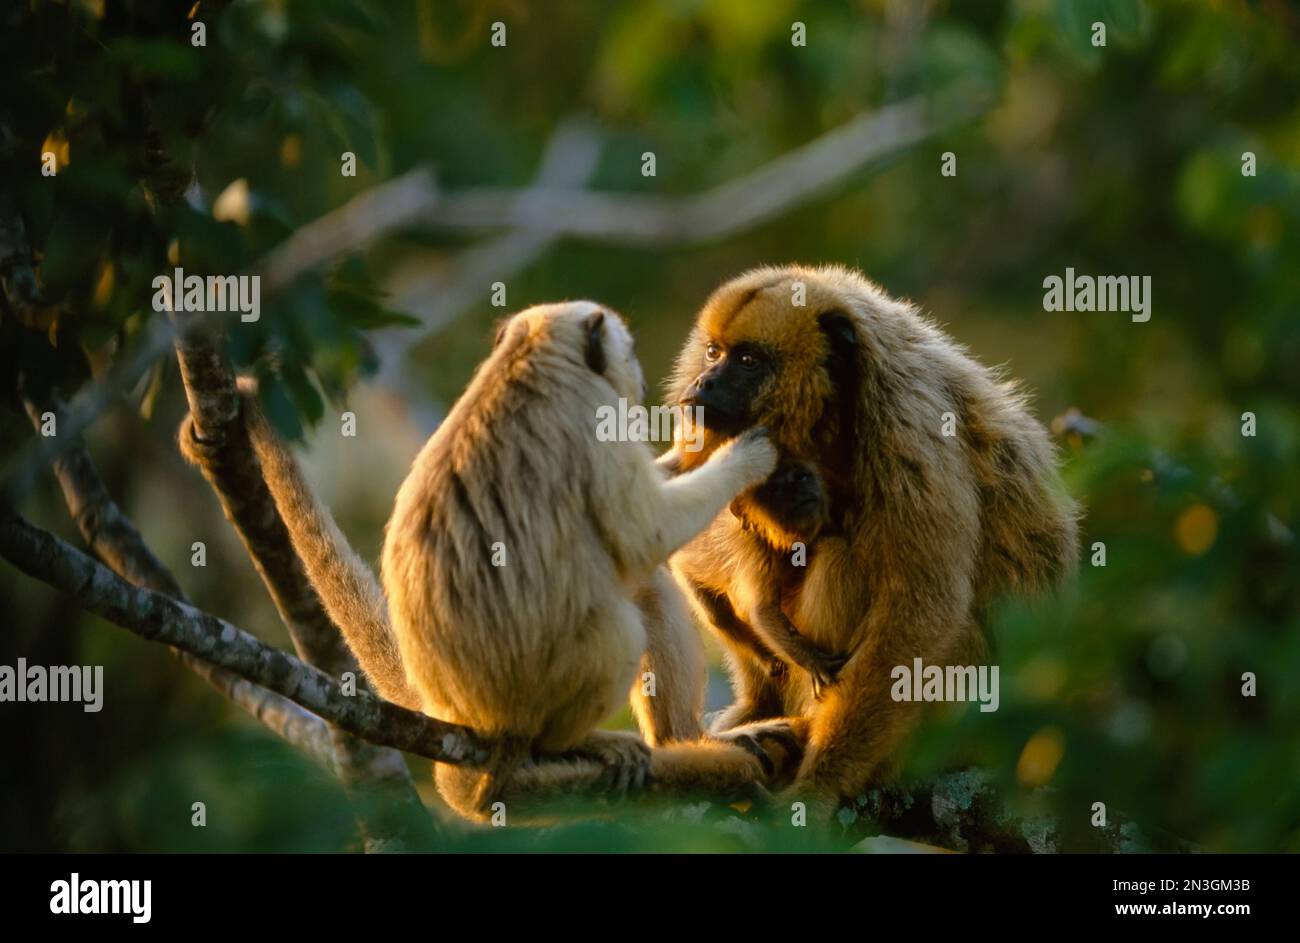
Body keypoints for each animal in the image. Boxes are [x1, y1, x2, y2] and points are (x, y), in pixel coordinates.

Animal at [237, 300, 779, 820]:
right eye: (628, 353)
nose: (642, 377)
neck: (526, 359)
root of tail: (467, 717)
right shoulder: (591, 417)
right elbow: (644, 534)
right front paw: (744, 458)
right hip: (537, 687)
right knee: (626, 618)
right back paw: (578, 743)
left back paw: (685, 743)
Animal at [663, 264, 1080, 809]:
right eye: (713, 352)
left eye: (749, 361)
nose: (704, 380)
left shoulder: (910, 429)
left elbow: (920, 617)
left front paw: (820, 785)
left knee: (845, 559)